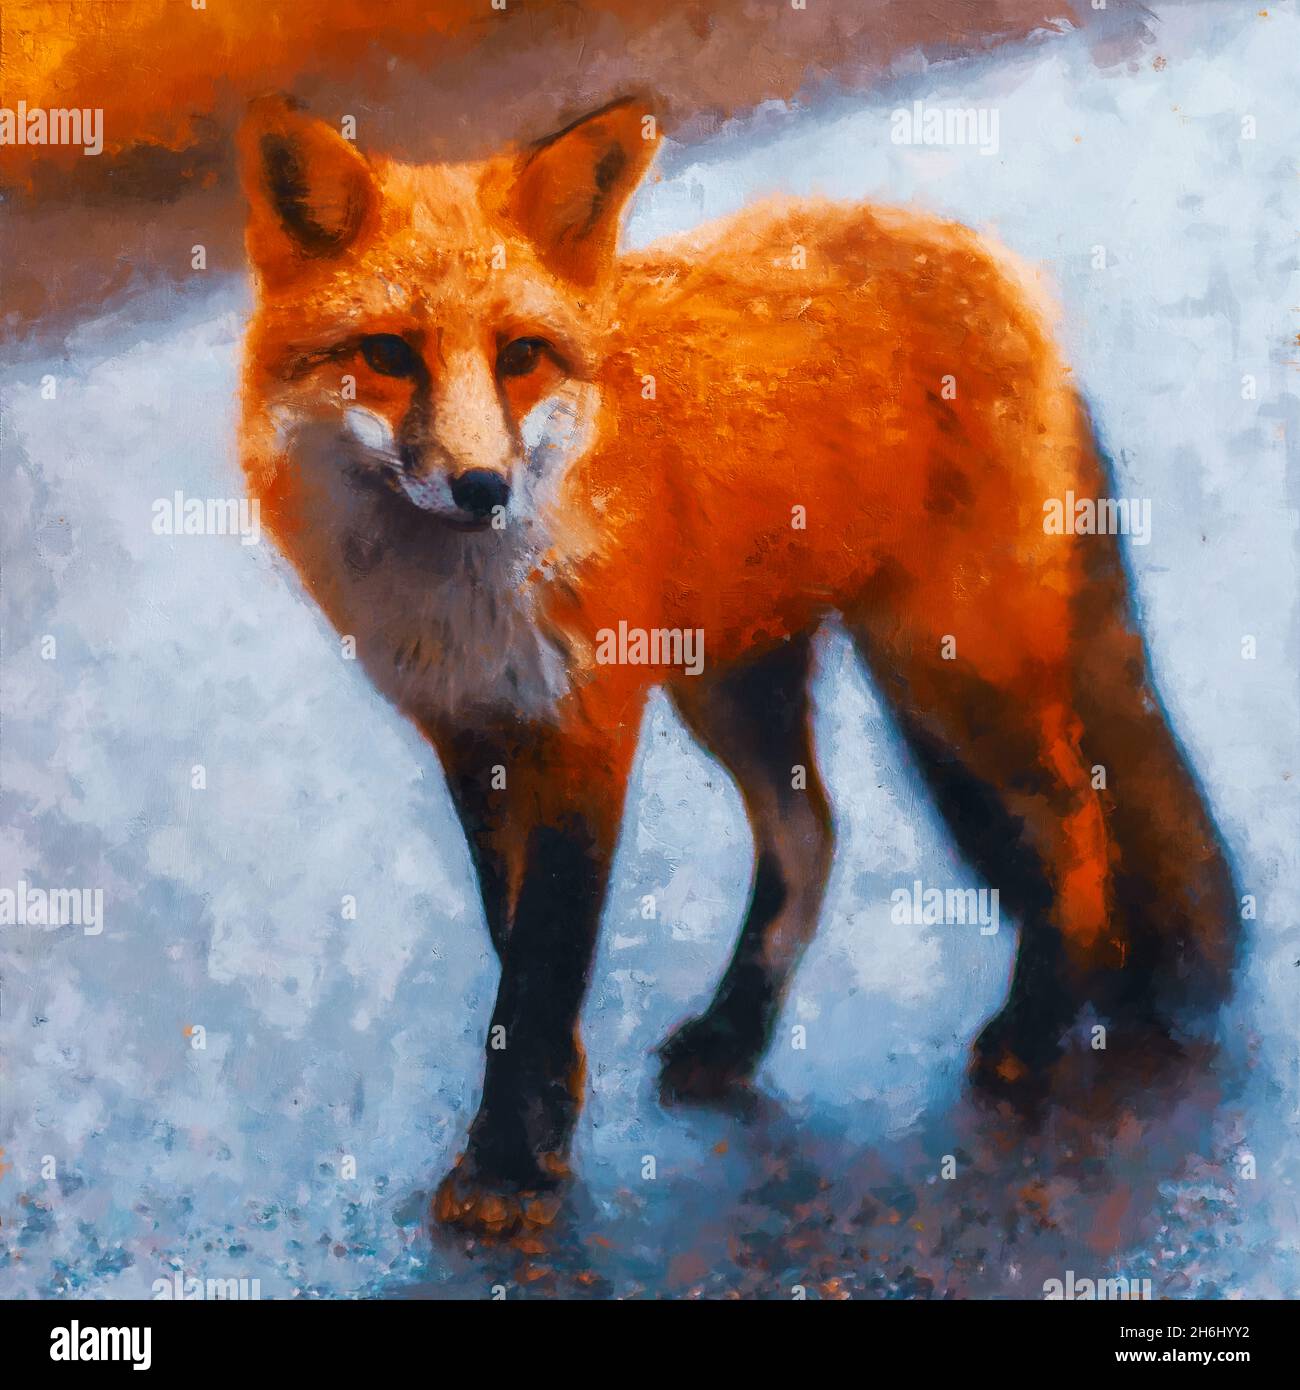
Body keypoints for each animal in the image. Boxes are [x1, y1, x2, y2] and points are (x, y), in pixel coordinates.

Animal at [236, 94, 1238, 1236]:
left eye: (521, 354)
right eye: (389, 354)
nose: (483, 487)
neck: (462, 599)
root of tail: (1000, 269)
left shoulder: (586, 726)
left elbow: (545, 954)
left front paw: (509, 1163)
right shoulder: (470, 730)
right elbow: (513, 944)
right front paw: (545, 1120)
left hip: (948, 673)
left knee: (1074, 831)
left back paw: (1033, 1033)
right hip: (735, 682)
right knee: (812, 834)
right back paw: (737, 1032)